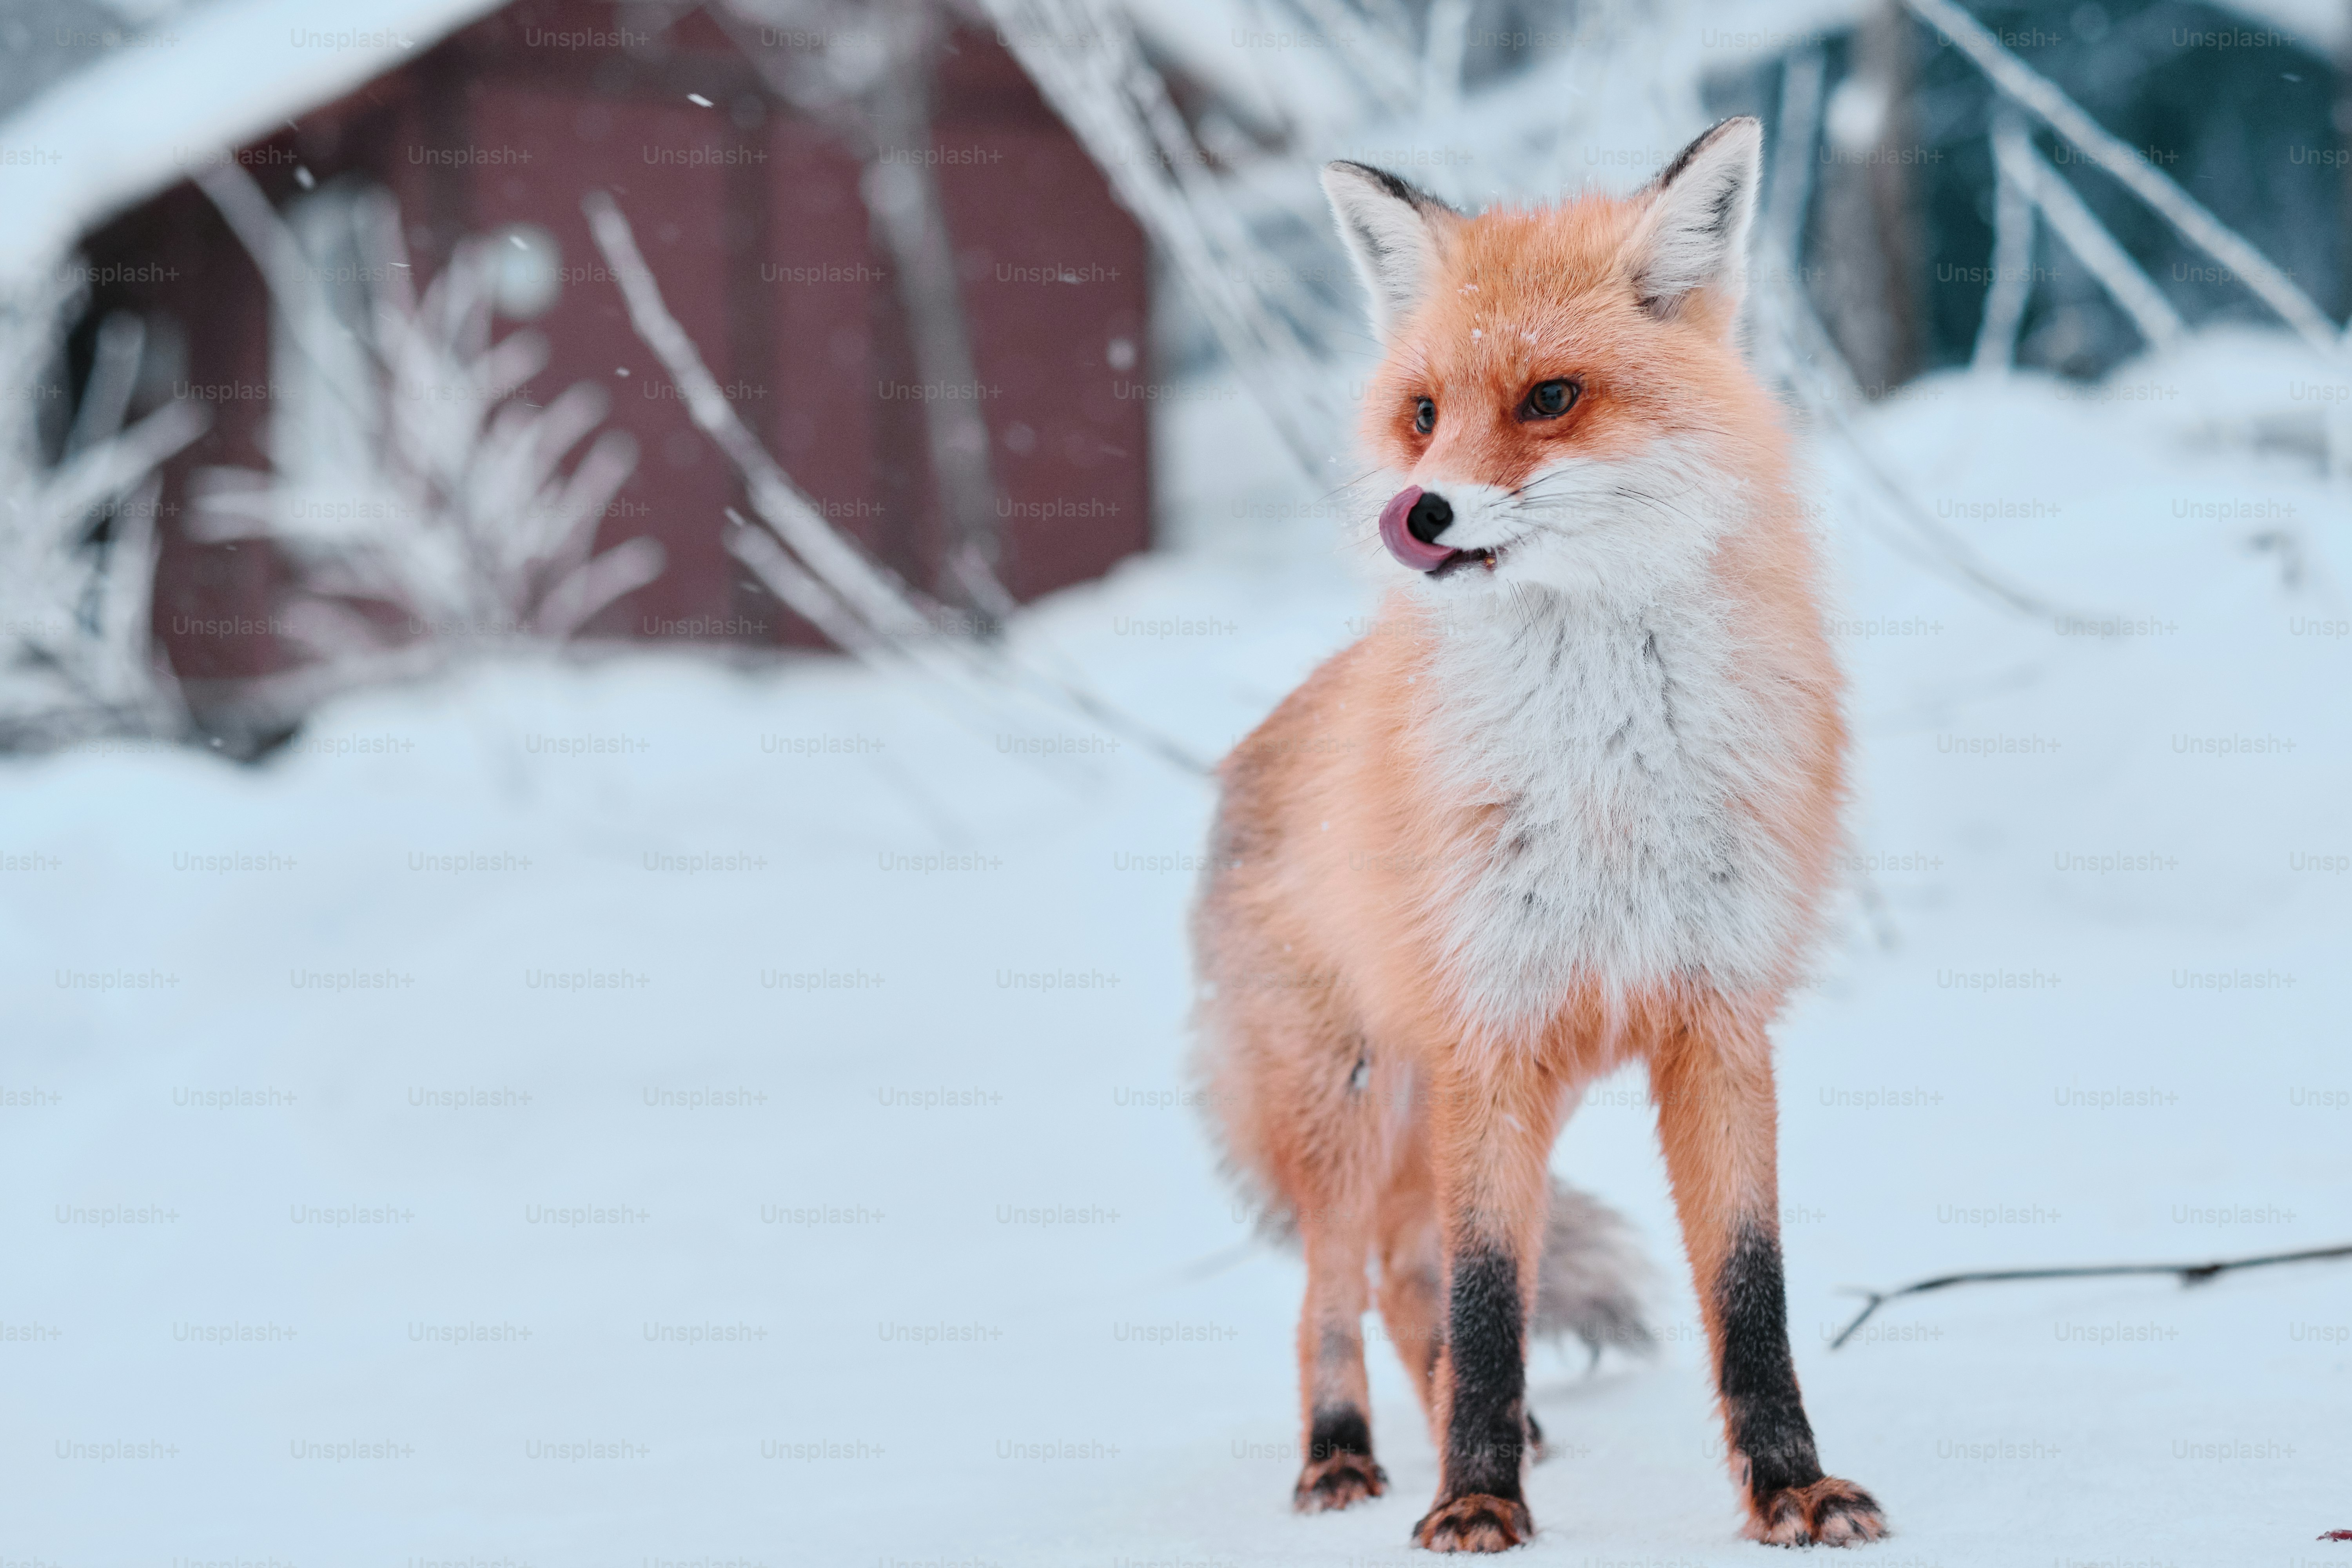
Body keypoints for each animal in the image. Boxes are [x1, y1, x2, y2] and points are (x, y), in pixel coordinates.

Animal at [1188, 119, 1884, 1552]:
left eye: (1551, 398)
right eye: (1422, 415)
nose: (1419, 511)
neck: (1605, 776)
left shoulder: (1718, 1021)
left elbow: (1750, 1293)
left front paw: (1793, 1489)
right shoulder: (1491, 1035)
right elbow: (1492, 1296)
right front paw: (1473, 1501)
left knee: (1406, 1276)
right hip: (1352, 1108)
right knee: (1338, 1288)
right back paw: (1342, 1457)